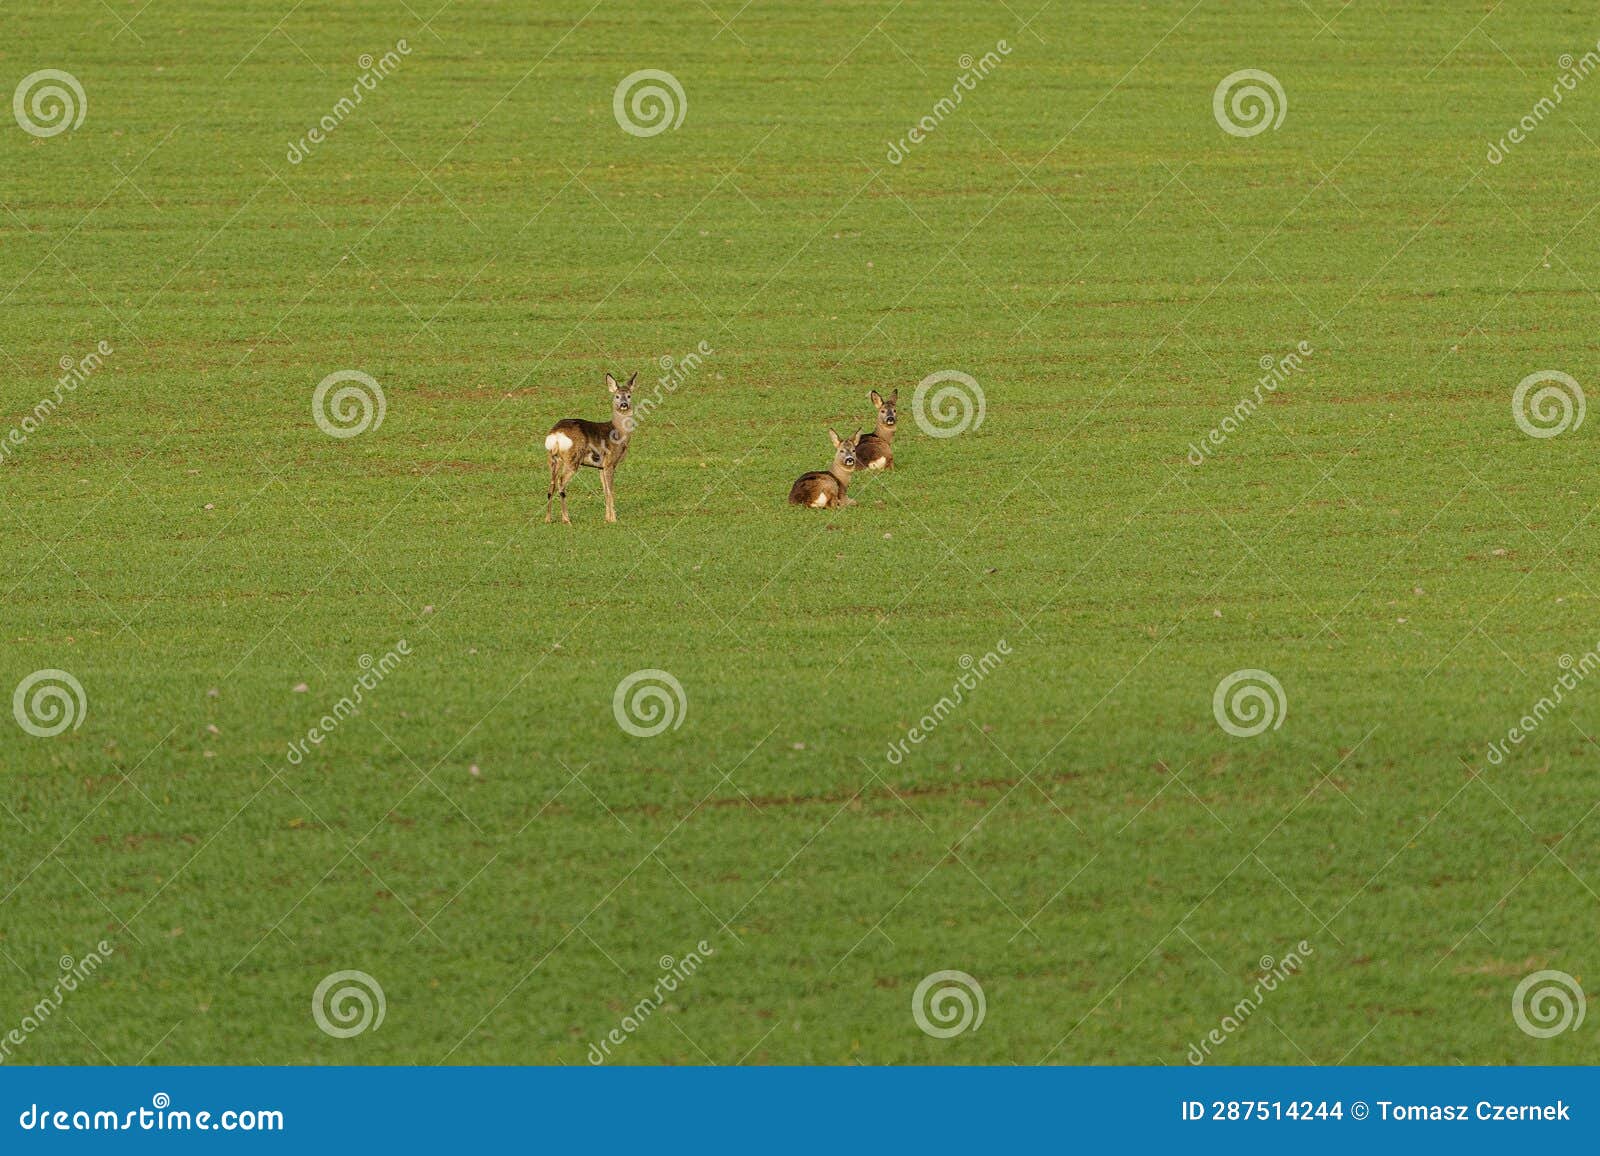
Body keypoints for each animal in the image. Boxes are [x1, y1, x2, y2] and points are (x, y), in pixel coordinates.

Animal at [544, 372, 636, 524]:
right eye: (617, 396)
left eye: (629, 395)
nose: (624, 404)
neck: (619, 432)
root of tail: (556, 434)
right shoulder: (610, 462)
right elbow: (611, 490)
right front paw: (613, 519)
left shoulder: (601, 466)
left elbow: (605, 491)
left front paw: (607, 518)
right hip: (572, 458)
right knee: (561, 482)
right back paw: (566, 519)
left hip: (553, 459)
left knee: (551, 484)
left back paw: (548, 519)